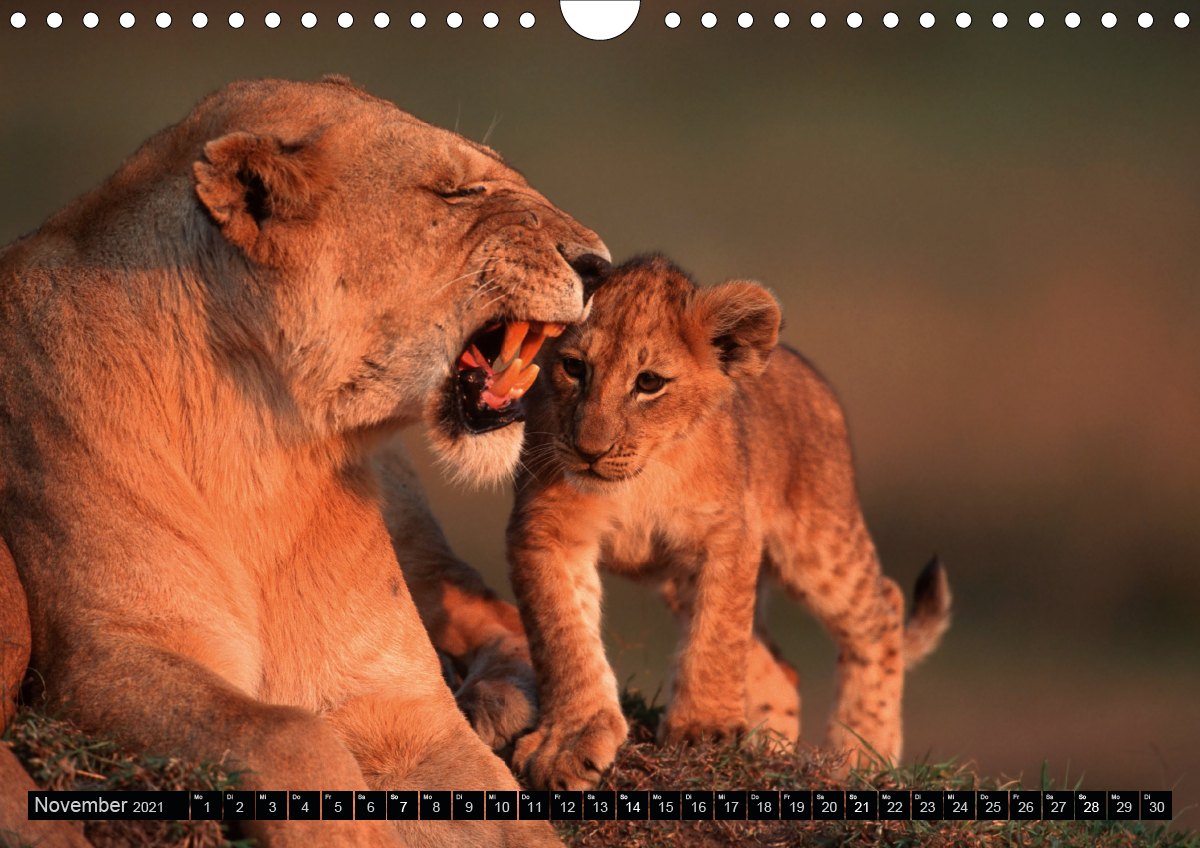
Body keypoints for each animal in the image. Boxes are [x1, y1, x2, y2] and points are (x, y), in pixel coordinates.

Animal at [0, 77, 610, 847]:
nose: (601, 265)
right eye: (459, 192)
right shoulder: (103, 658)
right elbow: (291, 735)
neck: (262, 438)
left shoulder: (398, 703)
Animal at [505, 255, 952, 791]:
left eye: (648, 382)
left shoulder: (728, 534)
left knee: (881, 610)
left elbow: (718, 633)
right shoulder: (547, 533)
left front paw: (704, 728)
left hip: (819, 543)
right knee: (779, 666)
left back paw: (862, 756)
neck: (642, 476)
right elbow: (564, 639)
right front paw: (568, 741)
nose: (590, 451)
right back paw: (772, 746)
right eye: (574, 368)